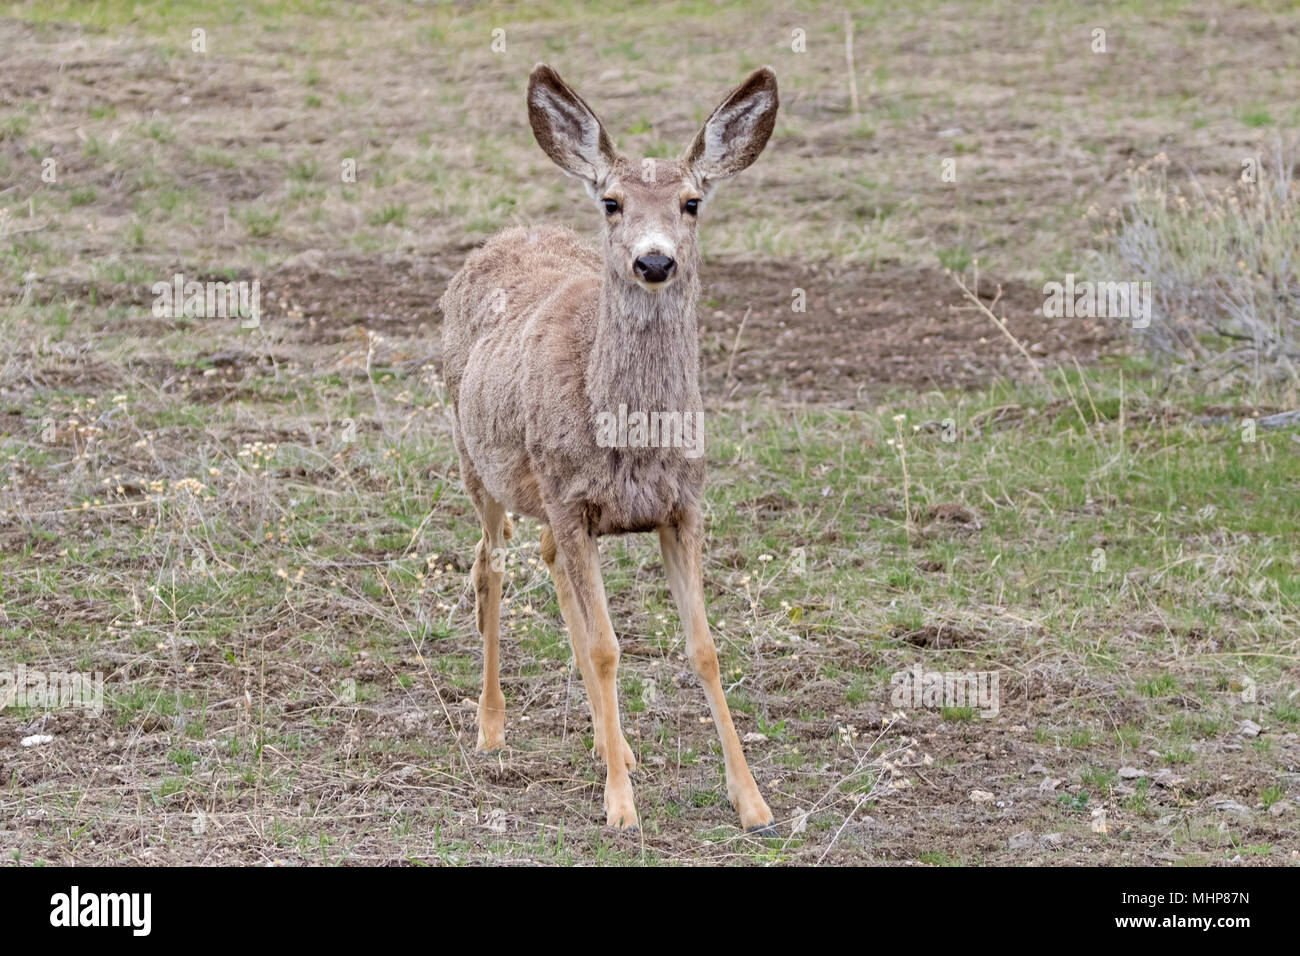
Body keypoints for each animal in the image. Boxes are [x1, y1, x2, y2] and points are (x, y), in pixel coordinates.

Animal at [438, 63, 779, 834]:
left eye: (691, 201)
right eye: (613, 202)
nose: (654, 261)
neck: (630, 434)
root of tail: (508, 234)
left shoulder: (682, 505)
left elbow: (704, 648)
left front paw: (752, 801)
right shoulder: (573, 502)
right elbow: (603, 646)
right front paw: (622, 809)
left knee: (546, 564)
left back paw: (609, 743)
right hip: (477, 461)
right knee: (488, 565)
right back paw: (492, 727)